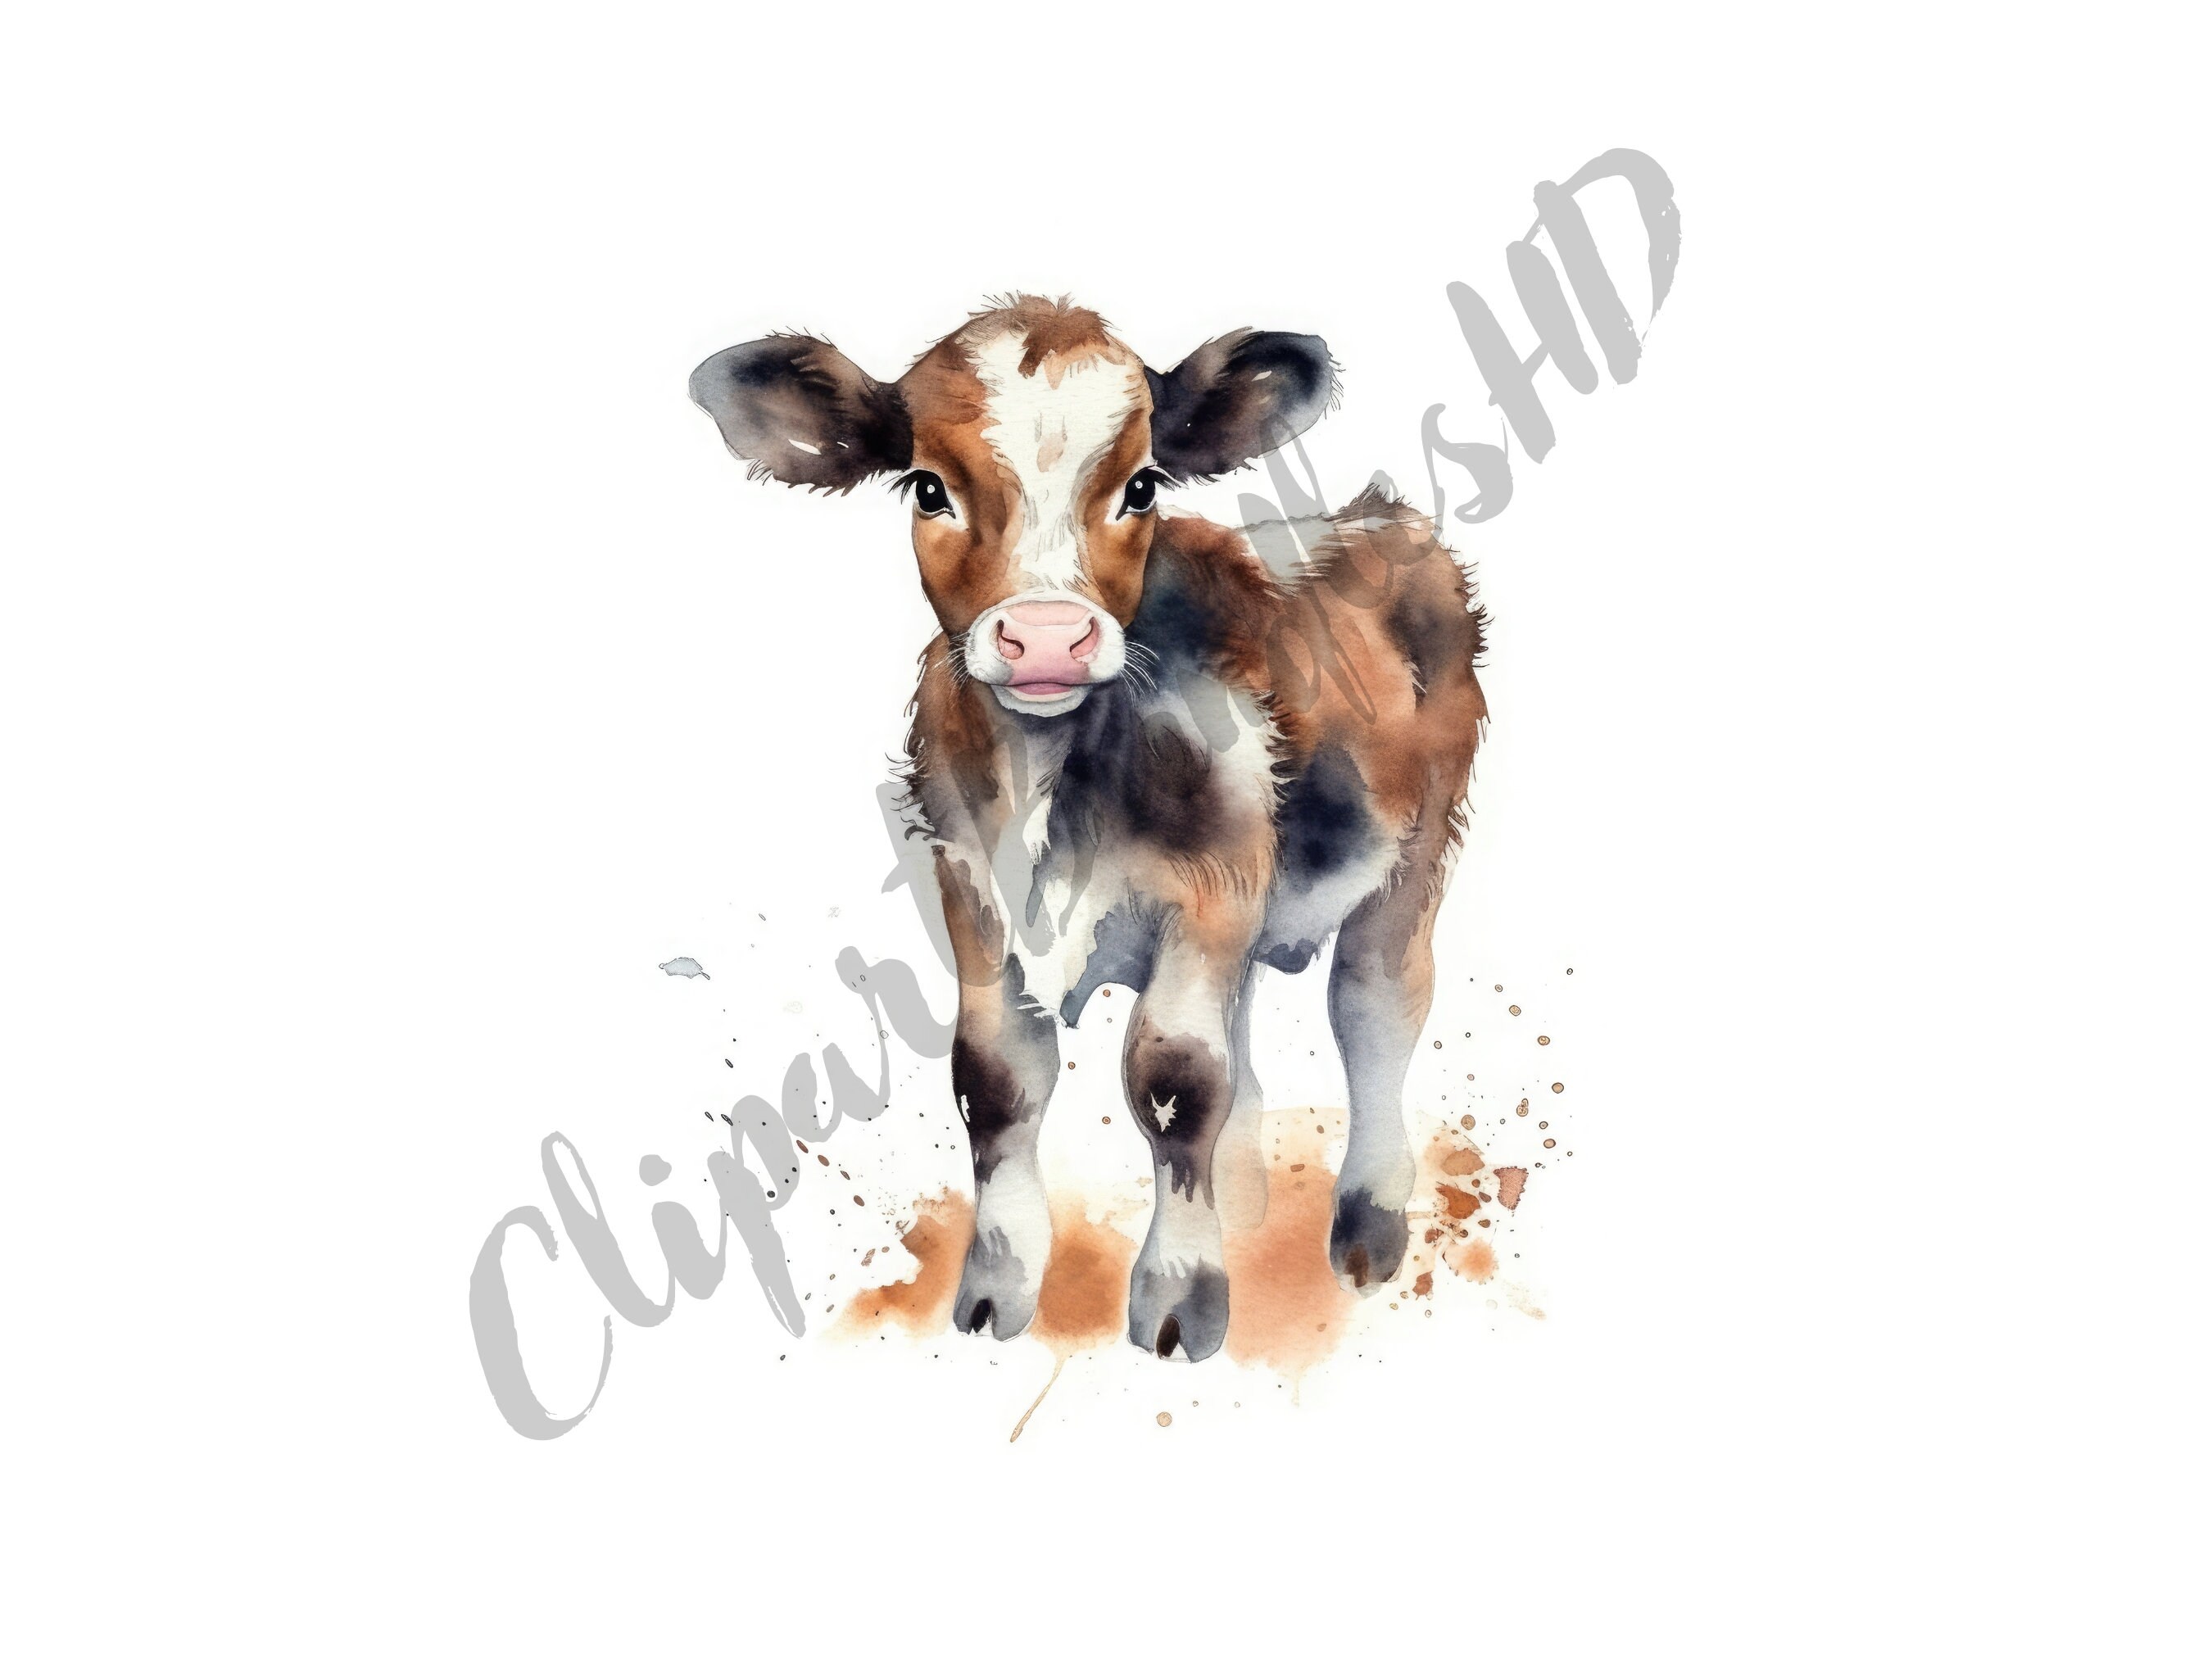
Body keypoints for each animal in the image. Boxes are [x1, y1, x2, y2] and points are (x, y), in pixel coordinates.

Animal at [691, 295, 1486, 1362]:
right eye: (929, 487)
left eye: (1141, 484)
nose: (1045, 639)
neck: (1050, 782)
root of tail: (1381, 512)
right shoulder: (973, 898)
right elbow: (994, 1080)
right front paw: (998, 1284)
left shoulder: (1209, 896)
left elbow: (1177, 1082)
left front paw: (1182, 1292)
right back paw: (1244, 1204)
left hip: (1420, 850)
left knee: (1375, 1009)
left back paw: (1368, 1220)